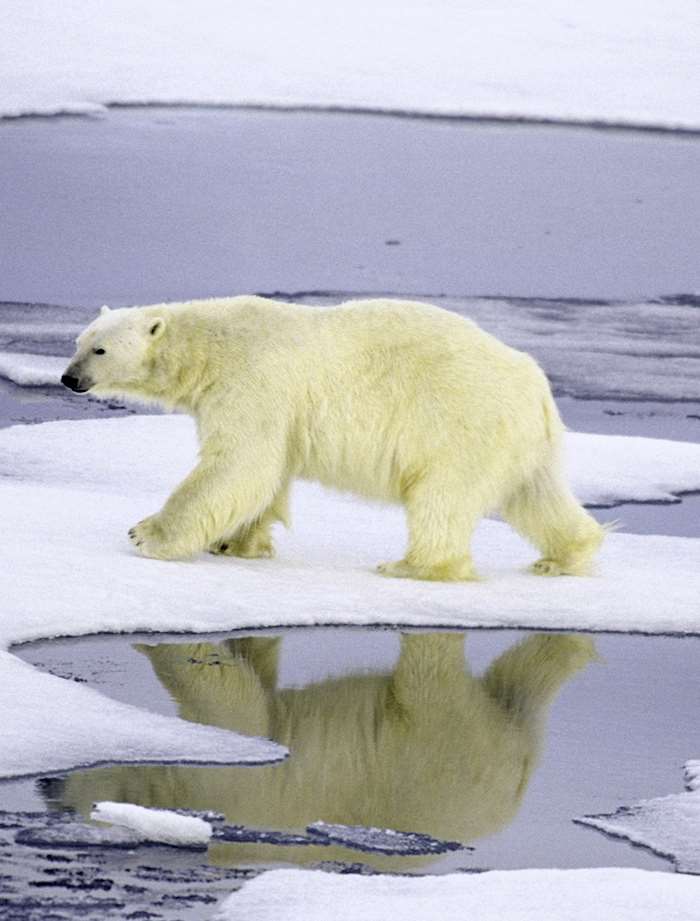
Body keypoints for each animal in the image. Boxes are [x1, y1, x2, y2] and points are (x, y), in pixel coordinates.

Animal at [51, 631, 597, 871]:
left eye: (70, 805)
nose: (46, 785)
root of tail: (515, 783)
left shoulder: (226, 781)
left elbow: (233, 704)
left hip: (437, 754)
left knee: (425, 685)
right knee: (517, 685)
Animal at [62, 296, 604, 580]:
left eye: (100, 349)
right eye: (78, 341)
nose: (68, 378)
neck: (211, 346)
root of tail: (536, 386)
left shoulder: (253, 382)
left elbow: (239, 464)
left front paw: (146, 535)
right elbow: (266, 474)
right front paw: (238, 544)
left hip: (461, 423)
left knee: (441, 499)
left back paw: (409, 566)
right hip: (520, 442)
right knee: (536, 495)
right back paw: (563, 556)